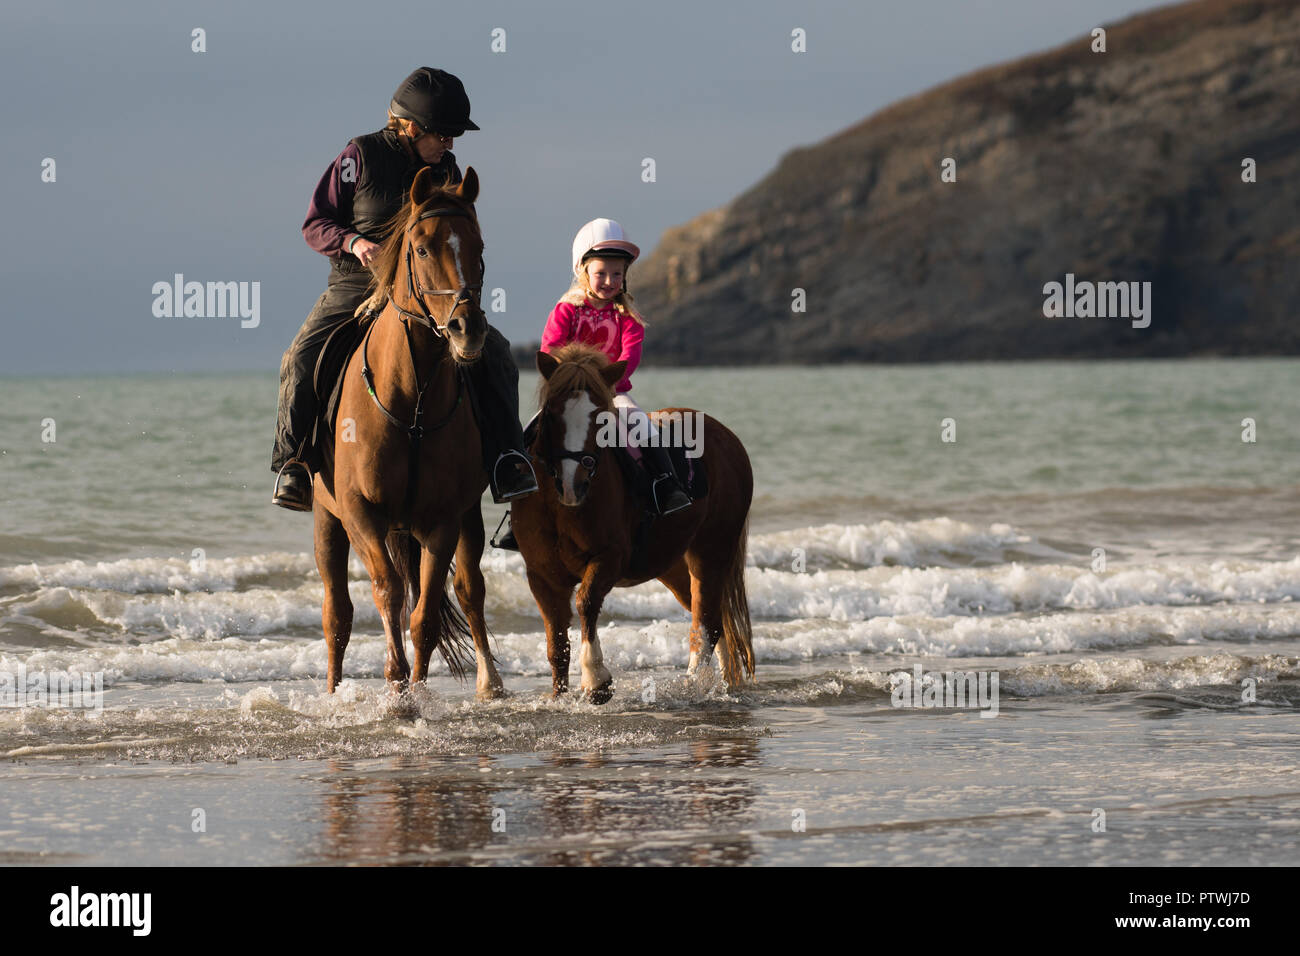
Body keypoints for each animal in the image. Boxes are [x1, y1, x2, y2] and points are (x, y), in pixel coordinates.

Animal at [310, 165, 505, 700]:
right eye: (420, 249)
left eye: (480, 246)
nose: (466, 329)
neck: (410, 398)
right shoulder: (360, 512)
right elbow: (387, 592)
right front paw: (396, 686)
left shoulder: (442, 520)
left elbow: (424, 617)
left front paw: (414, 694)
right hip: (326, 520)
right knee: (337, 612)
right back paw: (332, 694)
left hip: (466, 519)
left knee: (470, 591)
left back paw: (491, 682)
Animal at [510, 343, 755, 702]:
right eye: (551, 413)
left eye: (601, 416)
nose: (573, 483)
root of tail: (727, 437)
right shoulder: (541, 574)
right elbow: (556, 641)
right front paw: (558, 698)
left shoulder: (608, 558)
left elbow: (585, 603)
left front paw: (595, 680)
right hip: (673, 564)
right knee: (710, 616)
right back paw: (719, 684)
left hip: (712, 550)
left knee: (707, 621)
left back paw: (693, 684)